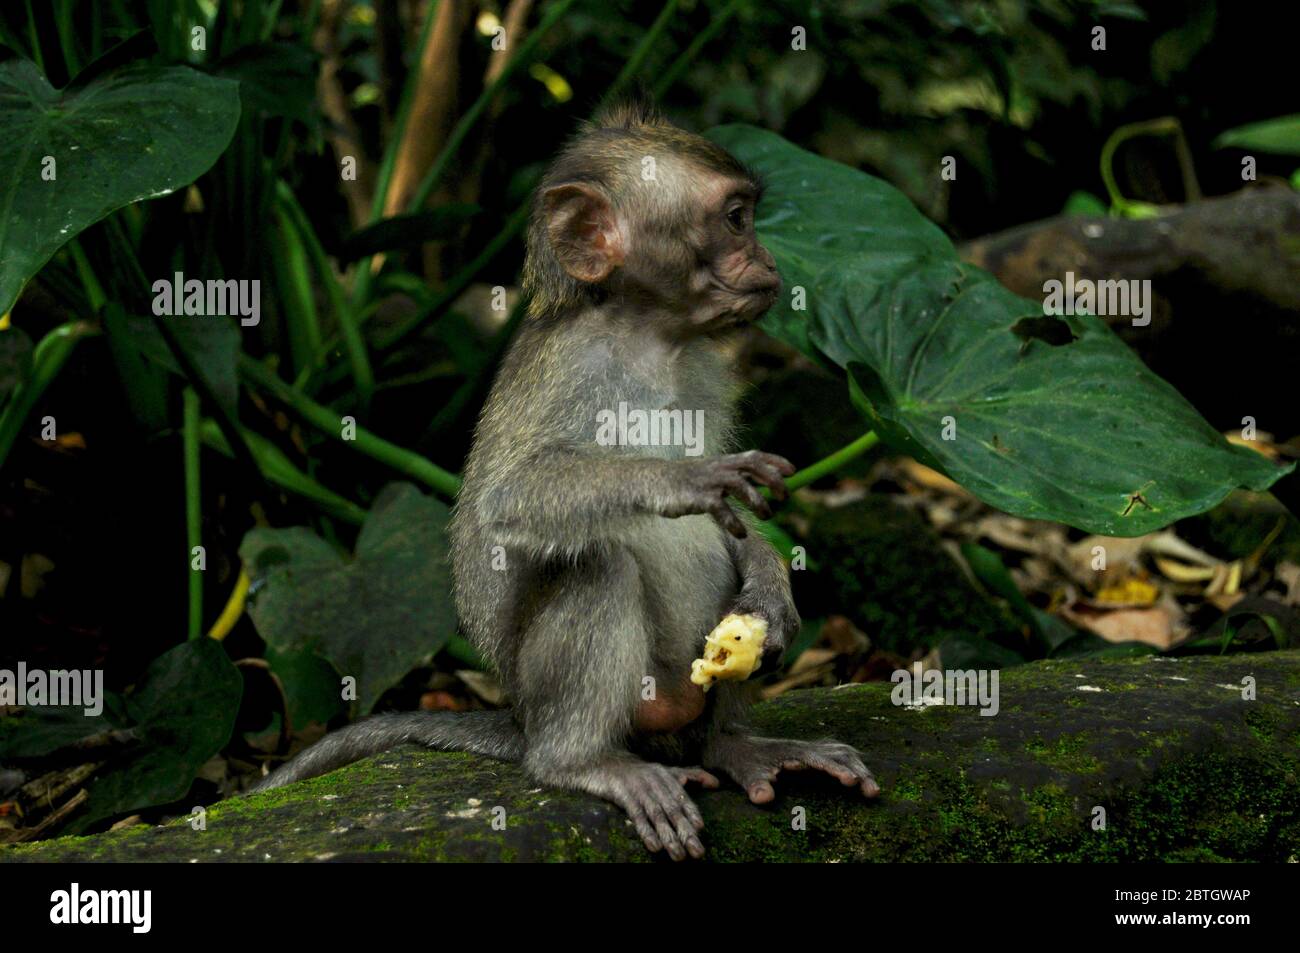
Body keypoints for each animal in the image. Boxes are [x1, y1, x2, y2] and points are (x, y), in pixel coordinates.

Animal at [253, 101, 879, 860]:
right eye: (735, 218)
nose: (767, 259)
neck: (649, 338)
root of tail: (520, 719)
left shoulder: (707, 369)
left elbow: (734, 532)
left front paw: (768, 579)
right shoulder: (570, 367)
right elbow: (506, 500)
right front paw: (685, 478)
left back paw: (733, 745)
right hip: (572, 699)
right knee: (595, 563)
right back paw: (582, 761)